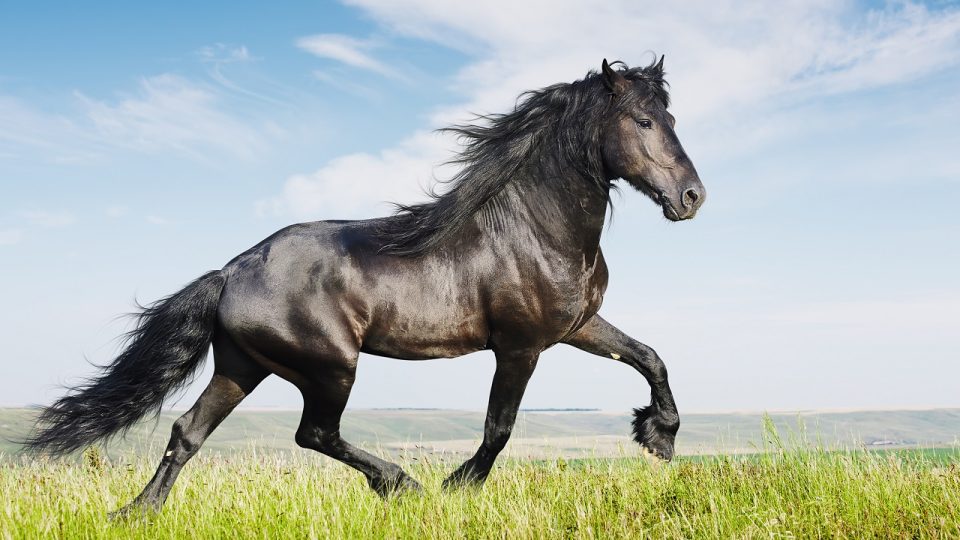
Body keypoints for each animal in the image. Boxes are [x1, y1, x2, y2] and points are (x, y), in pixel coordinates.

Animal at [25, 57, 705, 513]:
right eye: (643, 120)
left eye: (671, 117)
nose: (692, 197)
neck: (534, 228)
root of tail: (230, 272)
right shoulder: (521, 345)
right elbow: (499, 427)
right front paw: (457, 486)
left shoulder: (576, 326)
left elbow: (650, 356)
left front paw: (659, 437)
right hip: (330, 366)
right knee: (314, 433)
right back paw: (401, 484)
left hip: (242, 365)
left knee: (188, 432)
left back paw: (137, 513)